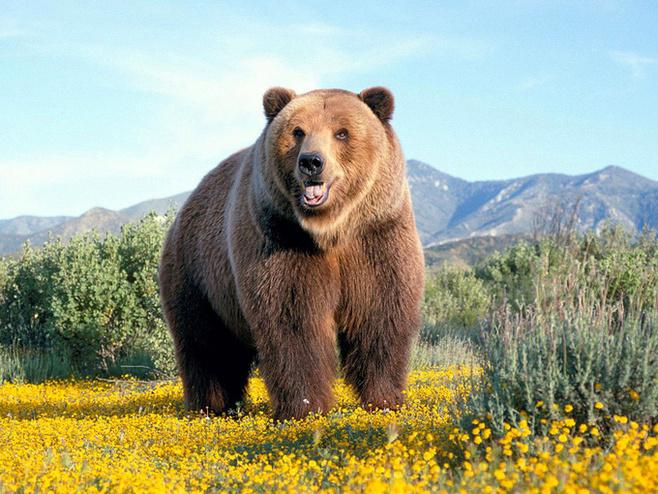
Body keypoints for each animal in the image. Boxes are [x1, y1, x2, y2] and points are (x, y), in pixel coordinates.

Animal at [159, 86, 424, 420]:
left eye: (342, 132)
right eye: (298, 131)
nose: (311, 162)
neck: (331, 230)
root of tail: (184, 208)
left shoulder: (377, 236)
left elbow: (380, 313)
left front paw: (385, 399)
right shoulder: (281, 239)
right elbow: (293, 320)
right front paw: (305, 407)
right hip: (198, 275)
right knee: (207, 345)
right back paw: (211, 406)